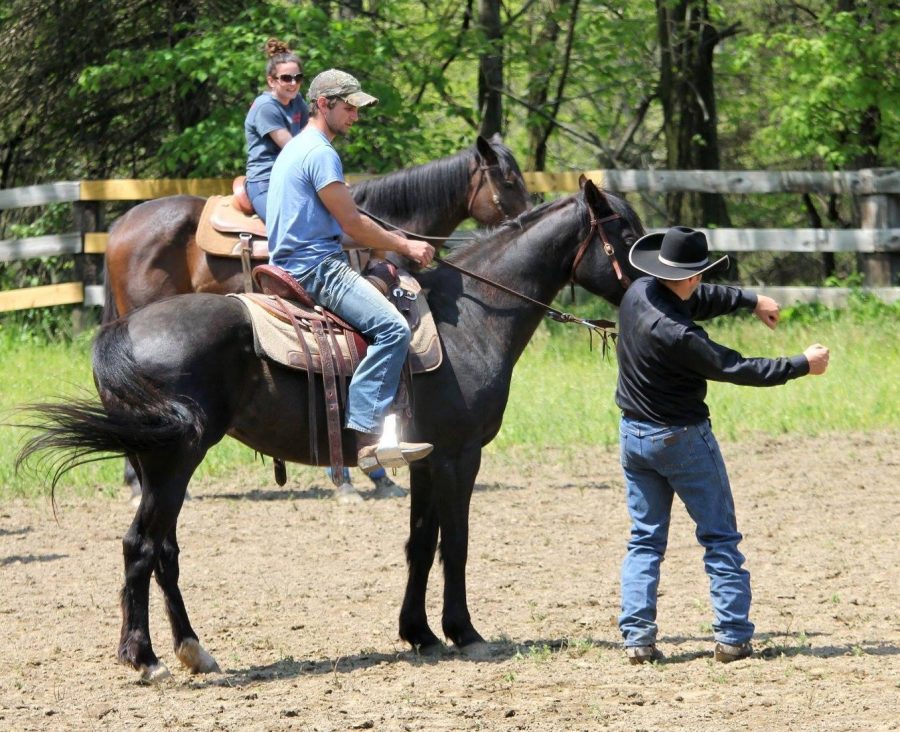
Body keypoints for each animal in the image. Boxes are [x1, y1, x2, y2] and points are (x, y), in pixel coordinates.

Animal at [17, 180, 644, 681]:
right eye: (627, 231)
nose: (660, 289)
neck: (472, 319)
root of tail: (123, 331)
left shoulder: (424, 459)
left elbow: (421, 543)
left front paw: (419, 633)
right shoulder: (459, 456)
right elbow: (457, 543)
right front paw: (464, 633)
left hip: (158, 463)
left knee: (159, 549)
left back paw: (190, 651)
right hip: (175, 462)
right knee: (145, 546)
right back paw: (146, 657)